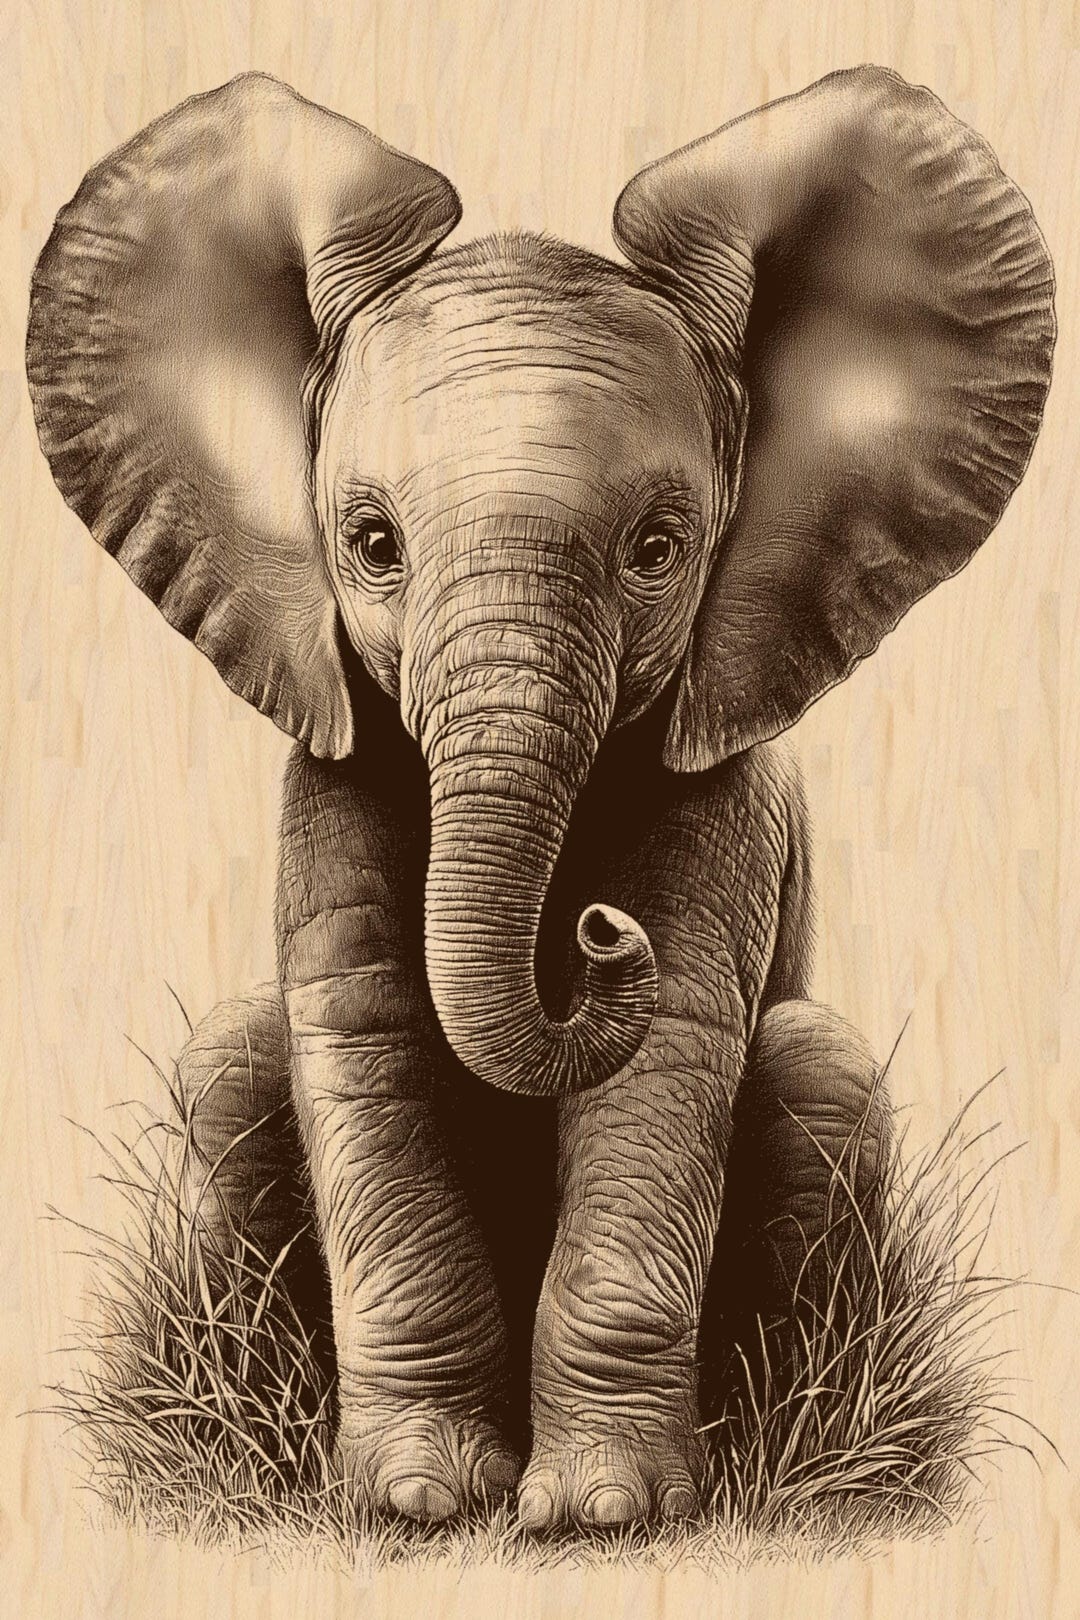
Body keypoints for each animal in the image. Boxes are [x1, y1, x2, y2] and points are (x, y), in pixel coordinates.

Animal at [26, 67, 1054, 1529]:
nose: (593, 931)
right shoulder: (329, 761)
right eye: (371, 544)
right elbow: (362, 1027)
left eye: (660, 549)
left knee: (819, 1068)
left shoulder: (726, 788)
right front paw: (419, 1502)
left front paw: (602, 1515)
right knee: (226, 1064)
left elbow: (668, 1054)